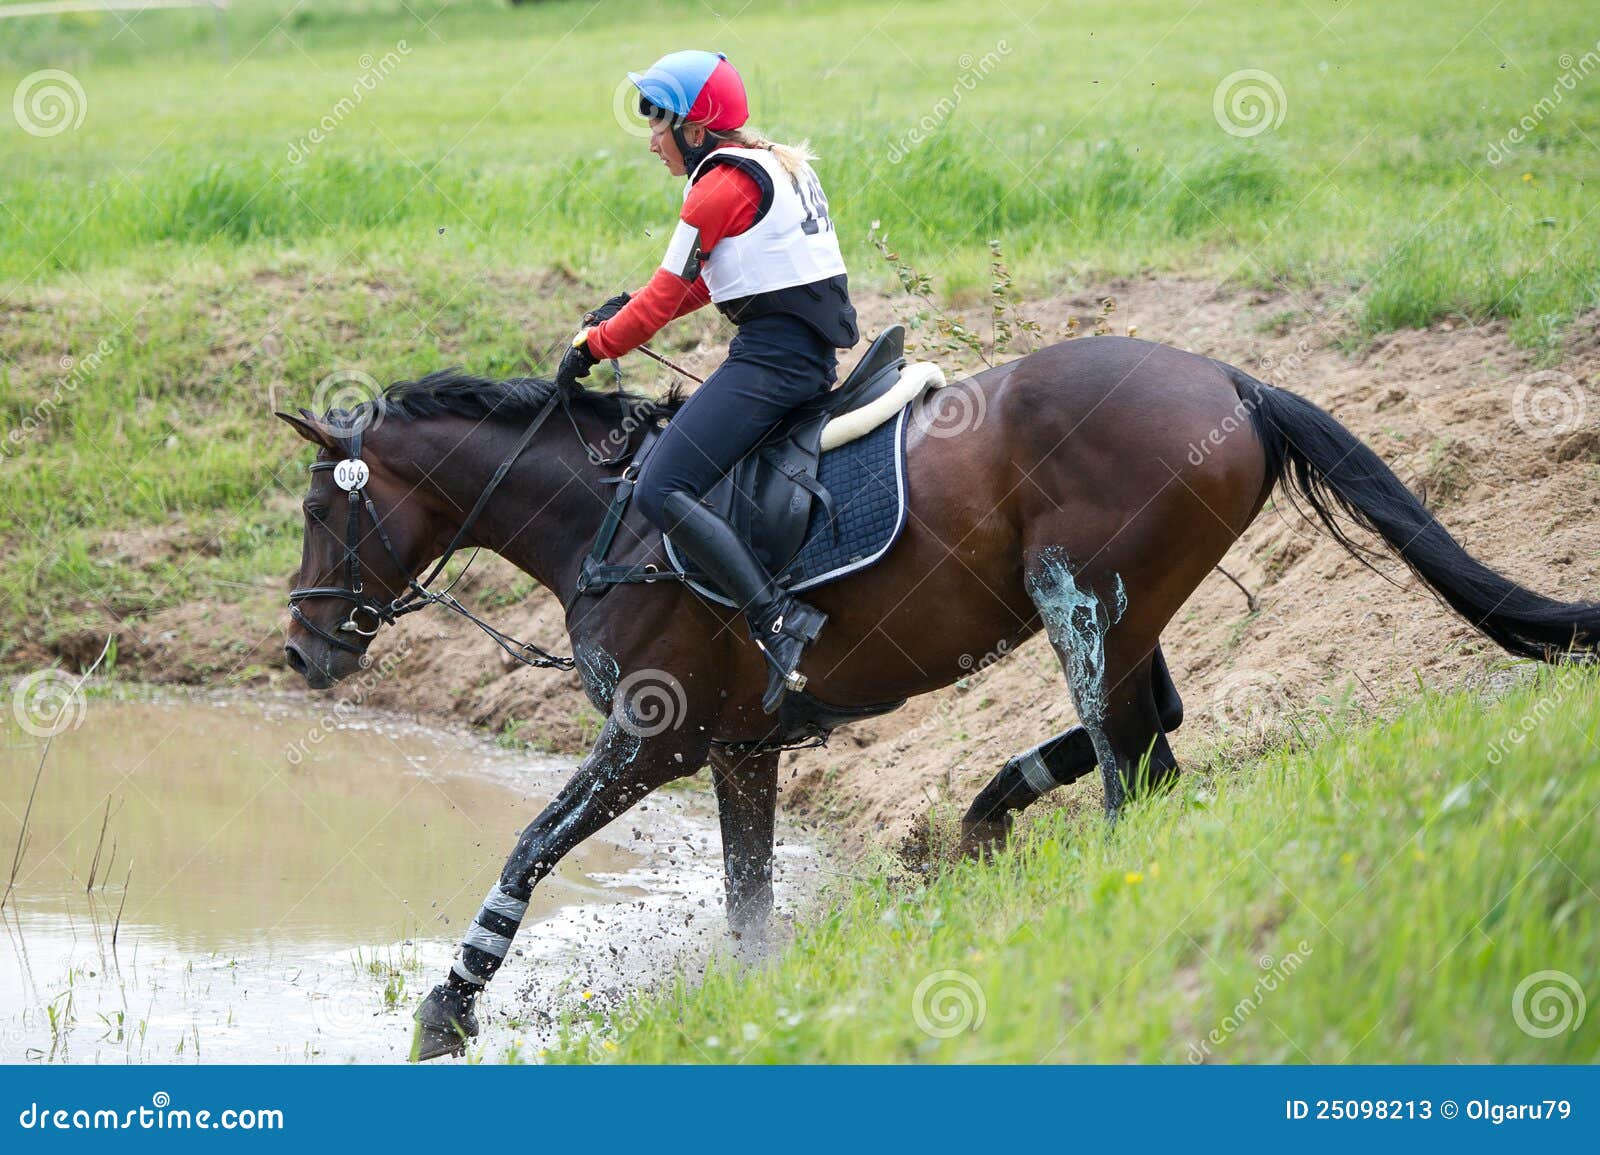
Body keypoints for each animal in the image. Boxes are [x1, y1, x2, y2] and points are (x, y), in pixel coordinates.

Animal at [277, 334, 1600, 1060]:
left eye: (313, 512)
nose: (300, 651)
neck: (604, 523)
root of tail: (1223, 377)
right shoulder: (741, 749)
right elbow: (746, 900)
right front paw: (757, 1009)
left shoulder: (655, 741)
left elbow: (531, 844)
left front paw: (446, 1012)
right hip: (1121, 606)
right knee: (1151, 738)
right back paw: (989, 810)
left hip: (1081, 597)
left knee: (1132, 766)